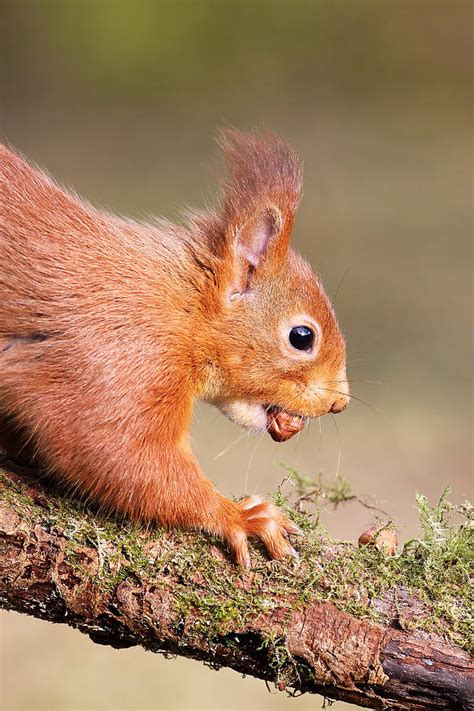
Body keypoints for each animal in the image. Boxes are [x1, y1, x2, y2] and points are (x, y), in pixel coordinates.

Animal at [0, 130, 349, 566]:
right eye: (302, 337)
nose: (340, 402)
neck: (184, 310)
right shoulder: (120, 356)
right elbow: (117, 451)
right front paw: (239, 515)